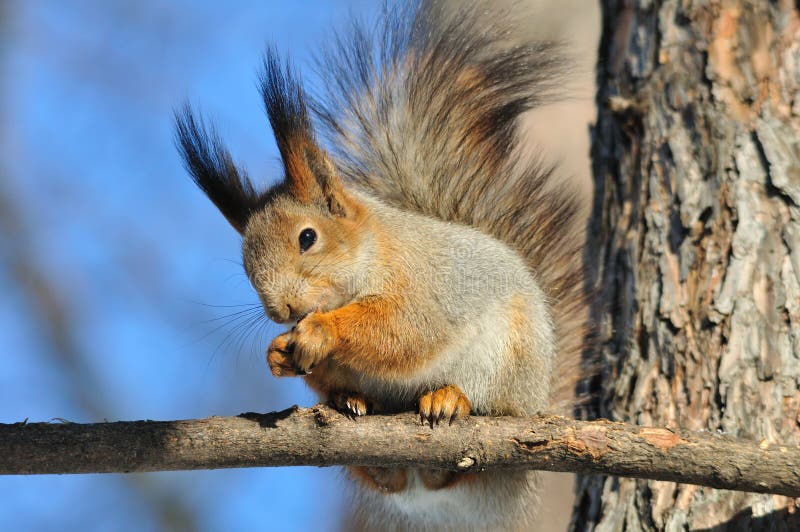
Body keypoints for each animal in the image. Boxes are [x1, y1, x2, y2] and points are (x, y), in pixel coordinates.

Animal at [176, 2, 590, 530]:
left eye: (307, 237)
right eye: (247, 266)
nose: (280, 310)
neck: (373, 250)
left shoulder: (423, 284)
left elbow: (401, 329)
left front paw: (323, 331)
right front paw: (278, 354)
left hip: (508, 370)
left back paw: (449, 400)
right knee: (394, 476)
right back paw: (360, 415)